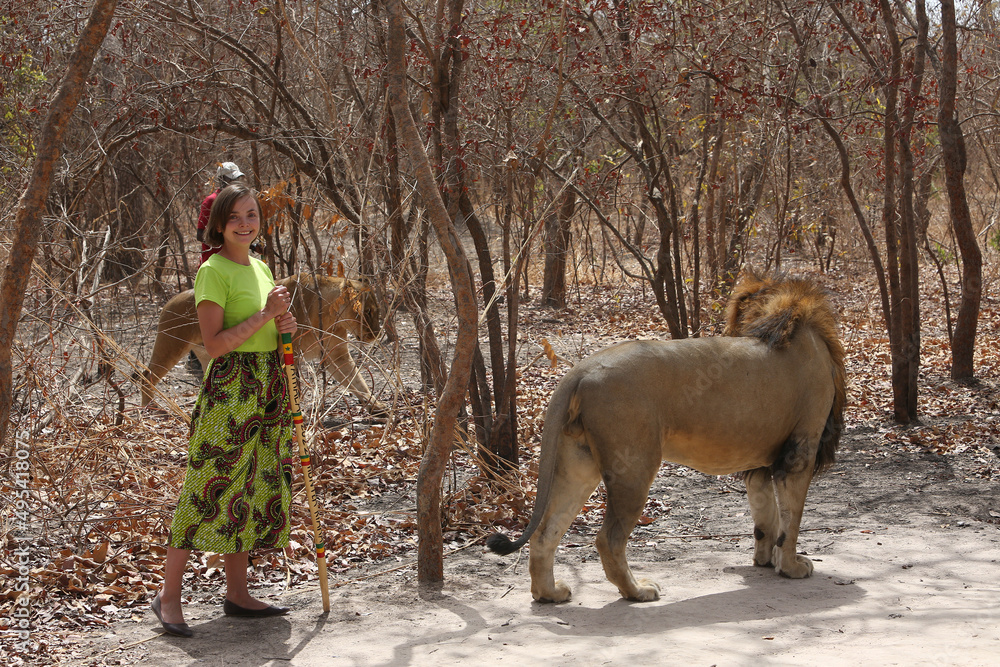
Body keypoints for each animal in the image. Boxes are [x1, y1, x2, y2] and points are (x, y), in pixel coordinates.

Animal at [140, 274, 386, 415]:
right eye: (368, 311)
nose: (376, 334)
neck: (330, 315)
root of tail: (170, 299)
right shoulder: (289, 352)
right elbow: (294, 386)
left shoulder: (336, 354)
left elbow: (356, 379)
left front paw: (376, 405)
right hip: (170, 345)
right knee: (145, 375)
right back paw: (151, 409)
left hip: (204, 352)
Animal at [487, 273, 845, 603]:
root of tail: (580, 370)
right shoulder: (800, 451)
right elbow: (791, 521)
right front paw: (791, 567)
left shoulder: (761, 460)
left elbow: (765, 515)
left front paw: (764, 561)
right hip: (634, 469)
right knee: (608, 539)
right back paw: (637, 591)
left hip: (578, 462)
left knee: (546, 531)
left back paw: (550, 593)